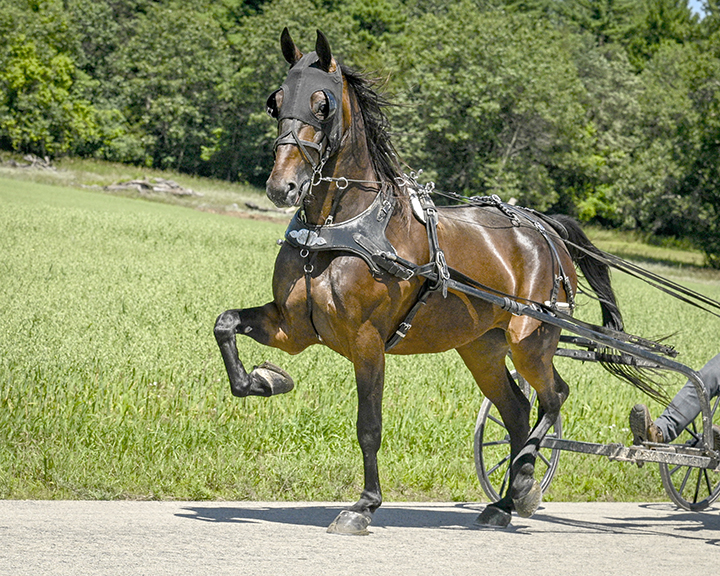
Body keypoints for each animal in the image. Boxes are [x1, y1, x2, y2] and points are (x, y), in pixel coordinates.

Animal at [214, 28, 628, 534]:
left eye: (322, 104)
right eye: (275, 102)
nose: (282, 187)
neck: (339, 229)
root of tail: (544, 227)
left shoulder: (367, 342)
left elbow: (368, 426)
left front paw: (363, 506)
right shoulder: (291, 328)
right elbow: (225, 323)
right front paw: (264, 380)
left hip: (531, 340)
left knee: (554, 397)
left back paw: (527, 486)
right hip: (482, 348)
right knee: (516, 412)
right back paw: (503, 502)